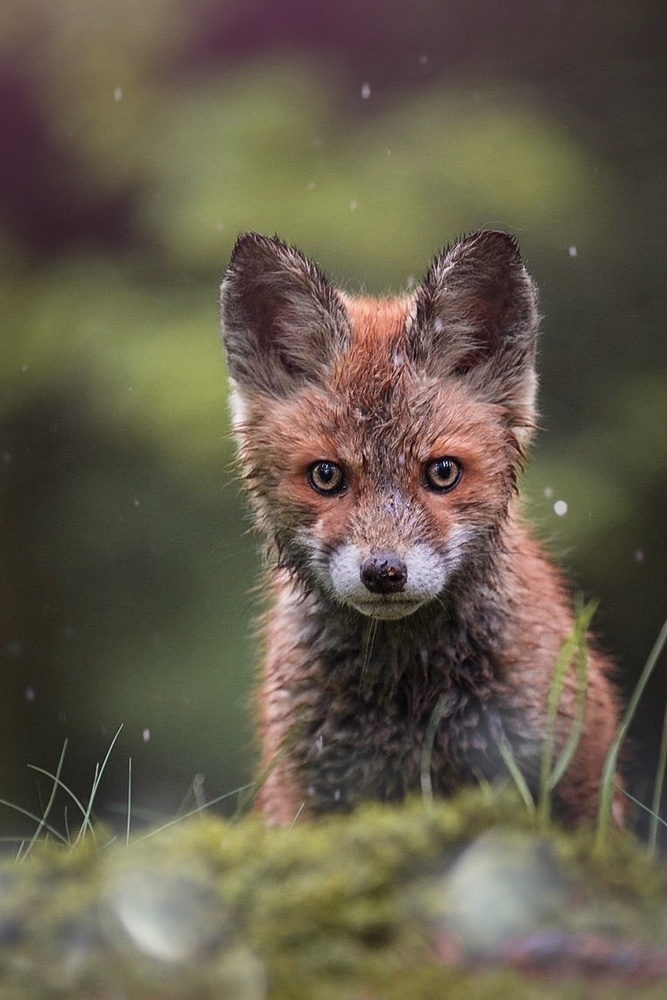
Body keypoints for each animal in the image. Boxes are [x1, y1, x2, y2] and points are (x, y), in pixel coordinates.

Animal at [219, 229, 622, 826]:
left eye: (443, 472)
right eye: (325, 476)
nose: (385, 572)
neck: (407, 699)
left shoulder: (569, 779)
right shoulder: (311, 800)